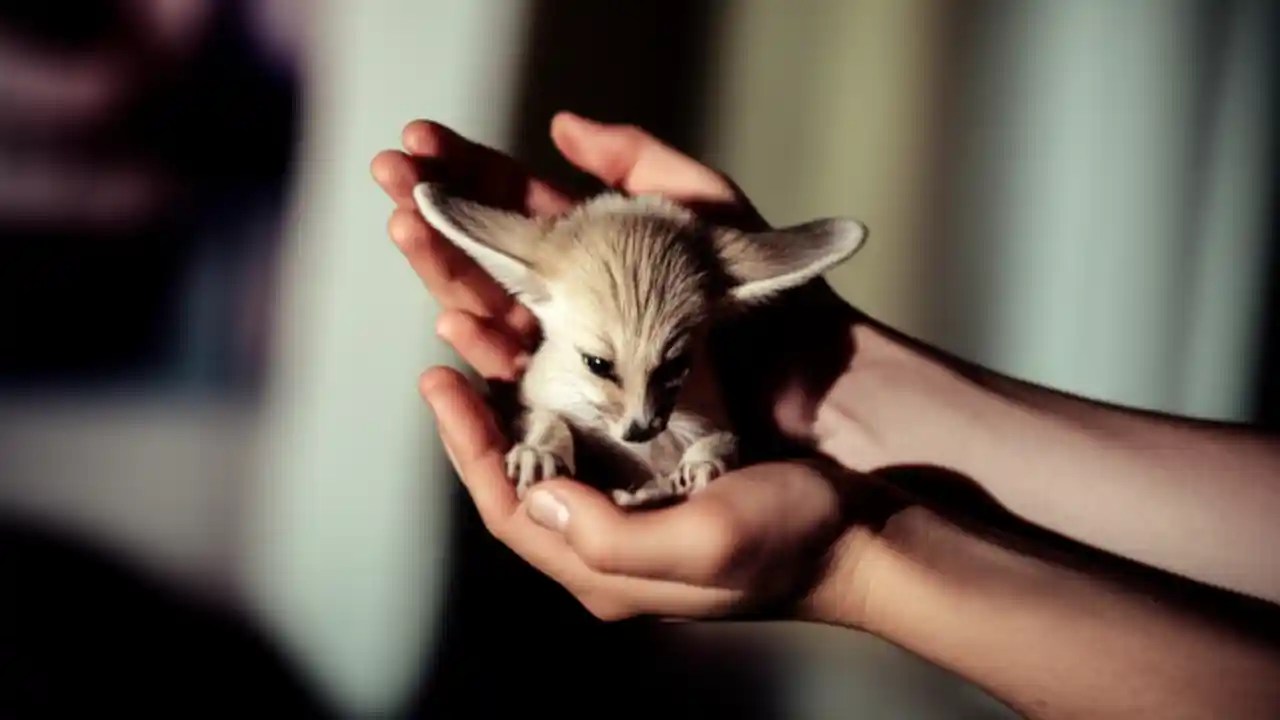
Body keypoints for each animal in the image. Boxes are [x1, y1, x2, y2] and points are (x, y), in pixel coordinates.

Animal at [413, 180, 867, 508]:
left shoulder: (713, 422)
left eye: (676, 366)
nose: (639, 430)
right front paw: (540, 452)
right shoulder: (534, 402)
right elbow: (548, 419)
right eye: (598, 364)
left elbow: (725, 440)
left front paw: (704, 462)